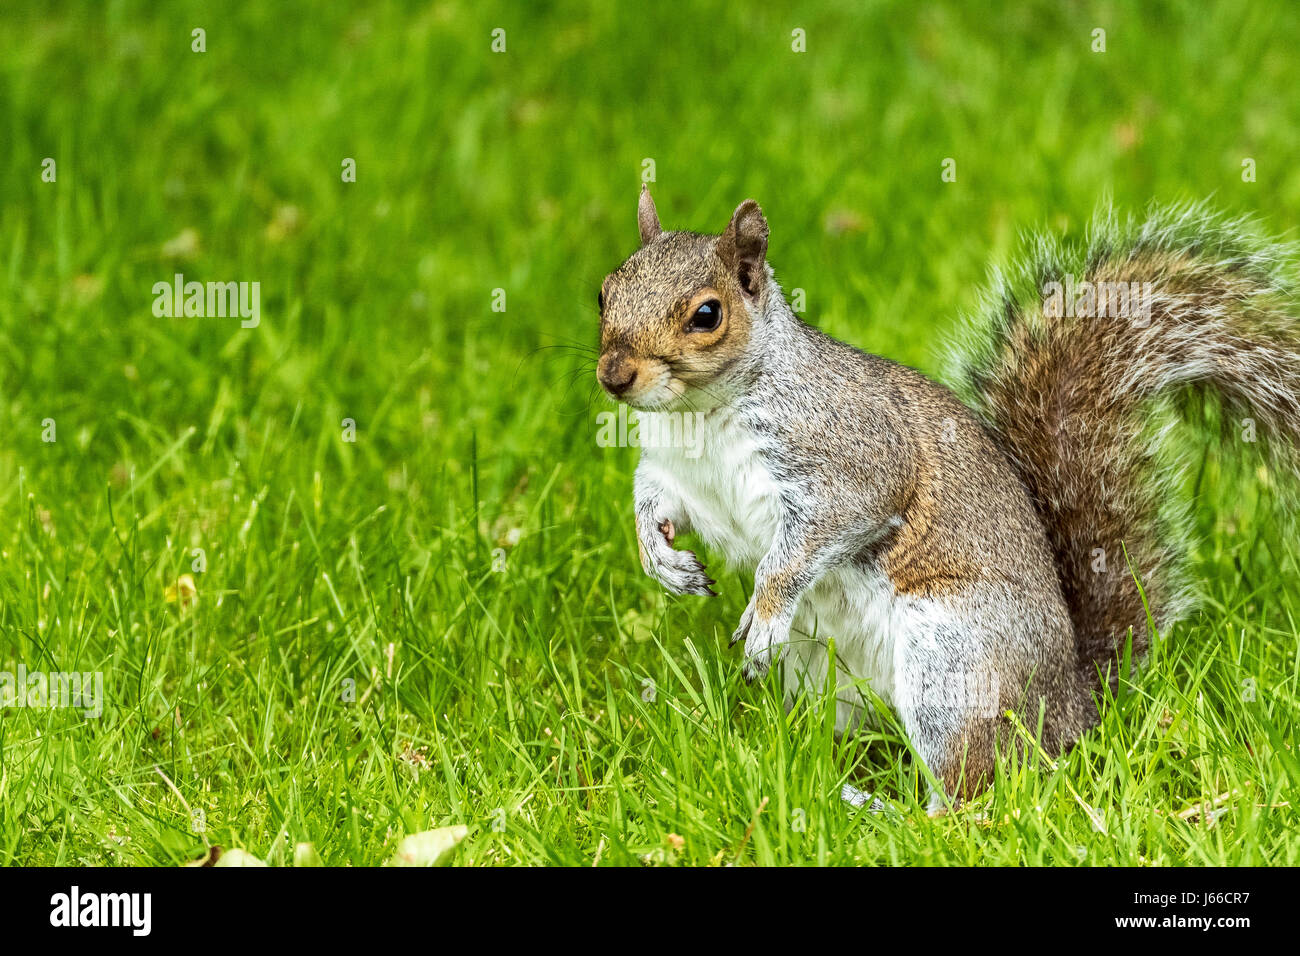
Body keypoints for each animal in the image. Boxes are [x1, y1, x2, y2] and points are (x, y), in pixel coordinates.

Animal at [595, 188, 1300, 816]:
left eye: (707, 315)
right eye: (603, 292)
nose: (613, 375)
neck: (700, 416)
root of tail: (1074, 706)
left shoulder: (855, 466)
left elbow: (802, 548)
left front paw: (764, 613)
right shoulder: (677, 476)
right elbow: (654, 503)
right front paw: (662, 560)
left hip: (953, 670)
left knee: (969, 798)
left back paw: (882, 811)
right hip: (826, 675)